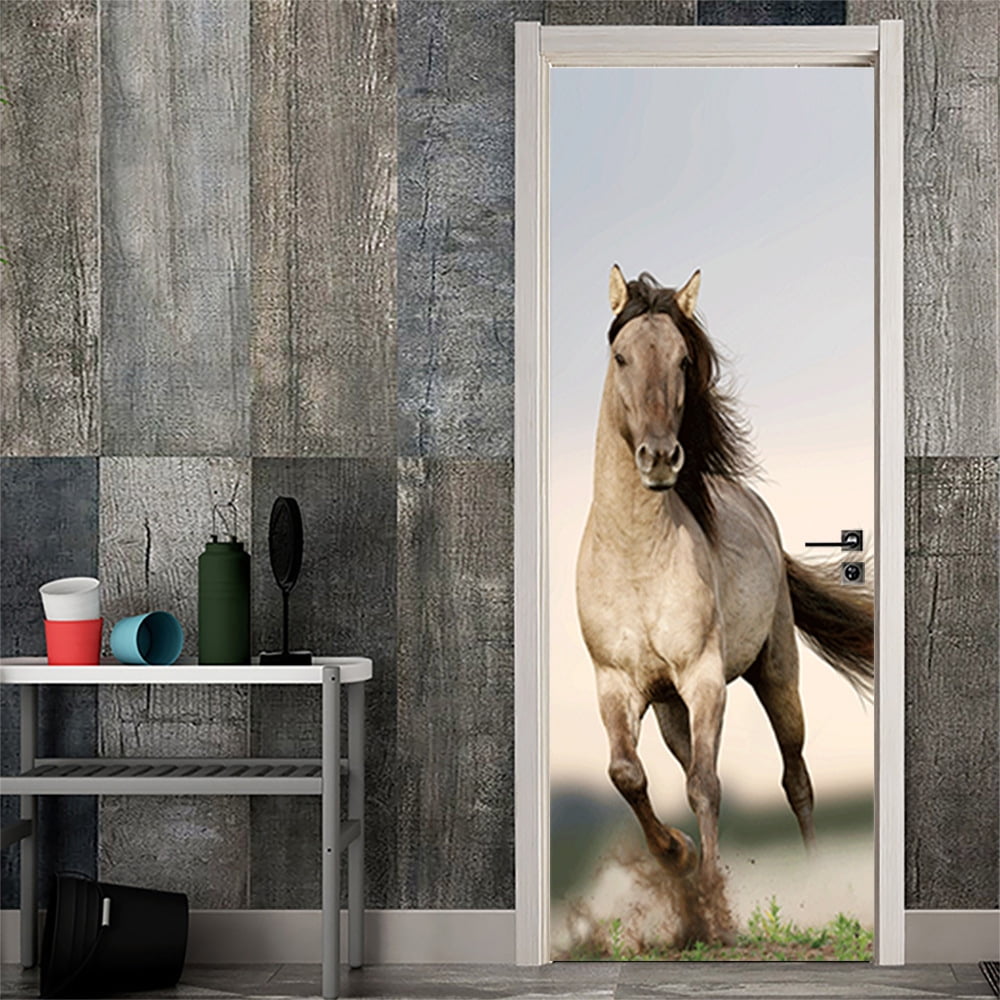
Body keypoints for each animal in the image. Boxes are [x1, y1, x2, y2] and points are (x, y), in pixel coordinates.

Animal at [576, 265, 874, 881]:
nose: (660, 458)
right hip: (670, 708)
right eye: (621, 356)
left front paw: (710, 885)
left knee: (796, 778)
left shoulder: (704, 677)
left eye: (683, 360)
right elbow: (627, 774)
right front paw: (678, 854)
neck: (636, 557)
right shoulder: (616, 684)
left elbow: (706, 785)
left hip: (777, 673)